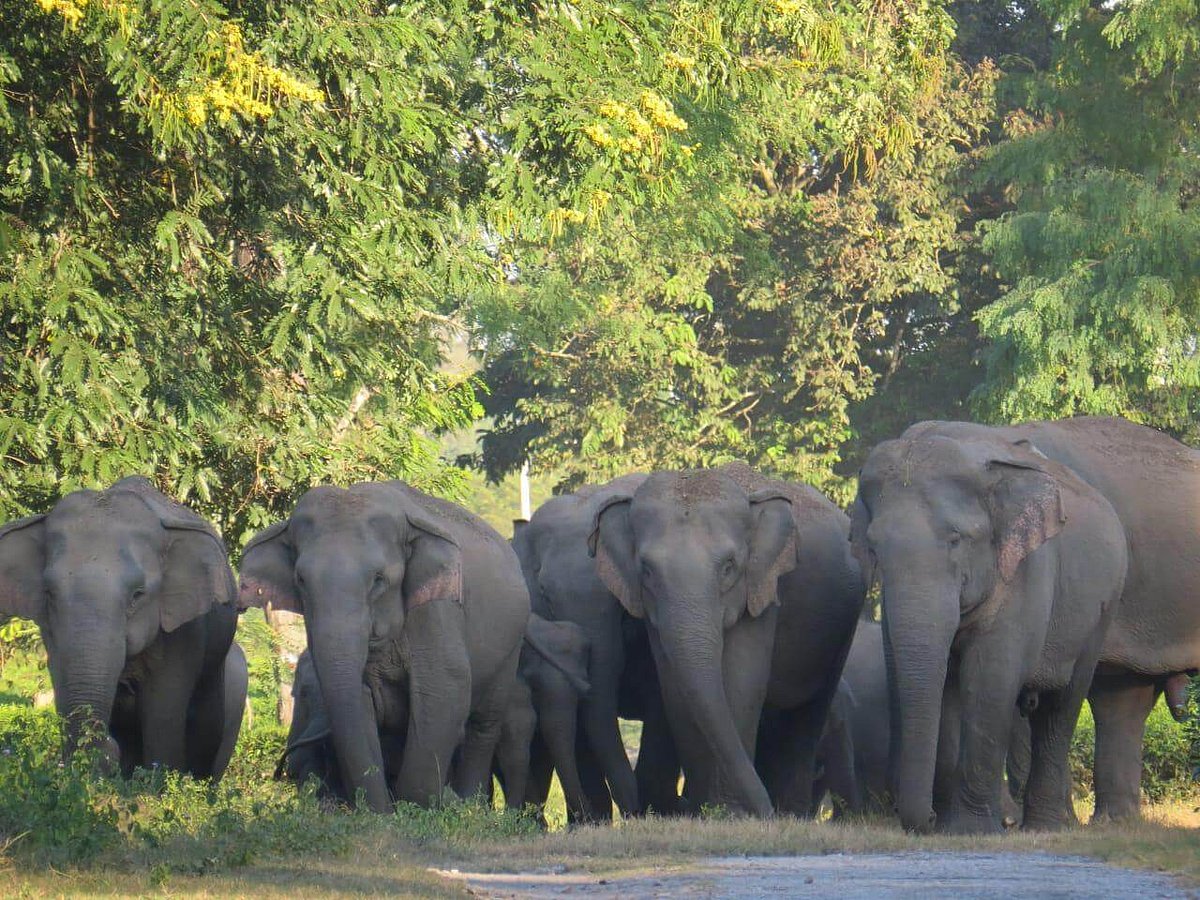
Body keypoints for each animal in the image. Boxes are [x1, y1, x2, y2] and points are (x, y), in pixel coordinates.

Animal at [0, 476, 246, 778]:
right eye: (49, 593)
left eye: (137, 595)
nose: (108, 747)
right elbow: (62, 682)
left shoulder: (186, 630)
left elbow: (163, 708)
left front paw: (158, 782)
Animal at [239, 481, 529, 813]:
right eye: (300, 579)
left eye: (379, 579)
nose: (279, 772)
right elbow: (357, 696)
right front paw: (378, 813)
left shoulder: (437, 606)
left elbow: (443, 685)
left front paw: (416, 809)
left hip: (511, 646)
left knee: (483, 722)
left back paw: (471, 807)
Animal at [590, 462, 864, 817]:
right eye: (646, 570)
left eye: (729, 567)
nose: (765, 814)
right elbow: (675, 689)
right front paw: (708, 812)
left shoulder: (762, 591)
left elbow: (740, 681)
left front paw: (732, 813)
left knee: (808, 714)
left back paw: (791, 812)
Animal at [852, 424, 1129, 833]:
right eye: (873, 546)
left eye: (955, 539)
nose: (927, 819)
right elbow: (933, 682)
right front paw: (950, 823)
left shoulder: (1025, 573)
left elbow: (988, 678)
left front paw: (968, 829)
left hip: (1103, 607)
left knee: (1061, 707)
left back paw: (1043, 827)